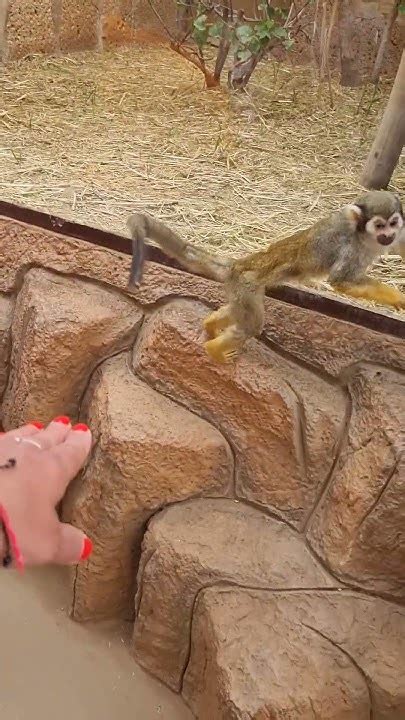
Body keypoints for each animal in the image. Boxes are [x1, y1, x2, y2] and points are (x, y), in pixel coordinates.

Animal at [127, 190, 405, 363]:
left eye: (393, 223)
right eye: (379, 225)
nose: (388, 236)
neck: (364, 236)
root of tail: (238, 265)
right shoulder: (350, 247)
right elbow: (341, 281)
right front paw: (397, 297)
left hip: (243, 290)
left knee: (240, 313)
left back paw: (211, 325)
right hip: (246, 286)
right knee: (252, 324)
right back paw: (213, 350)